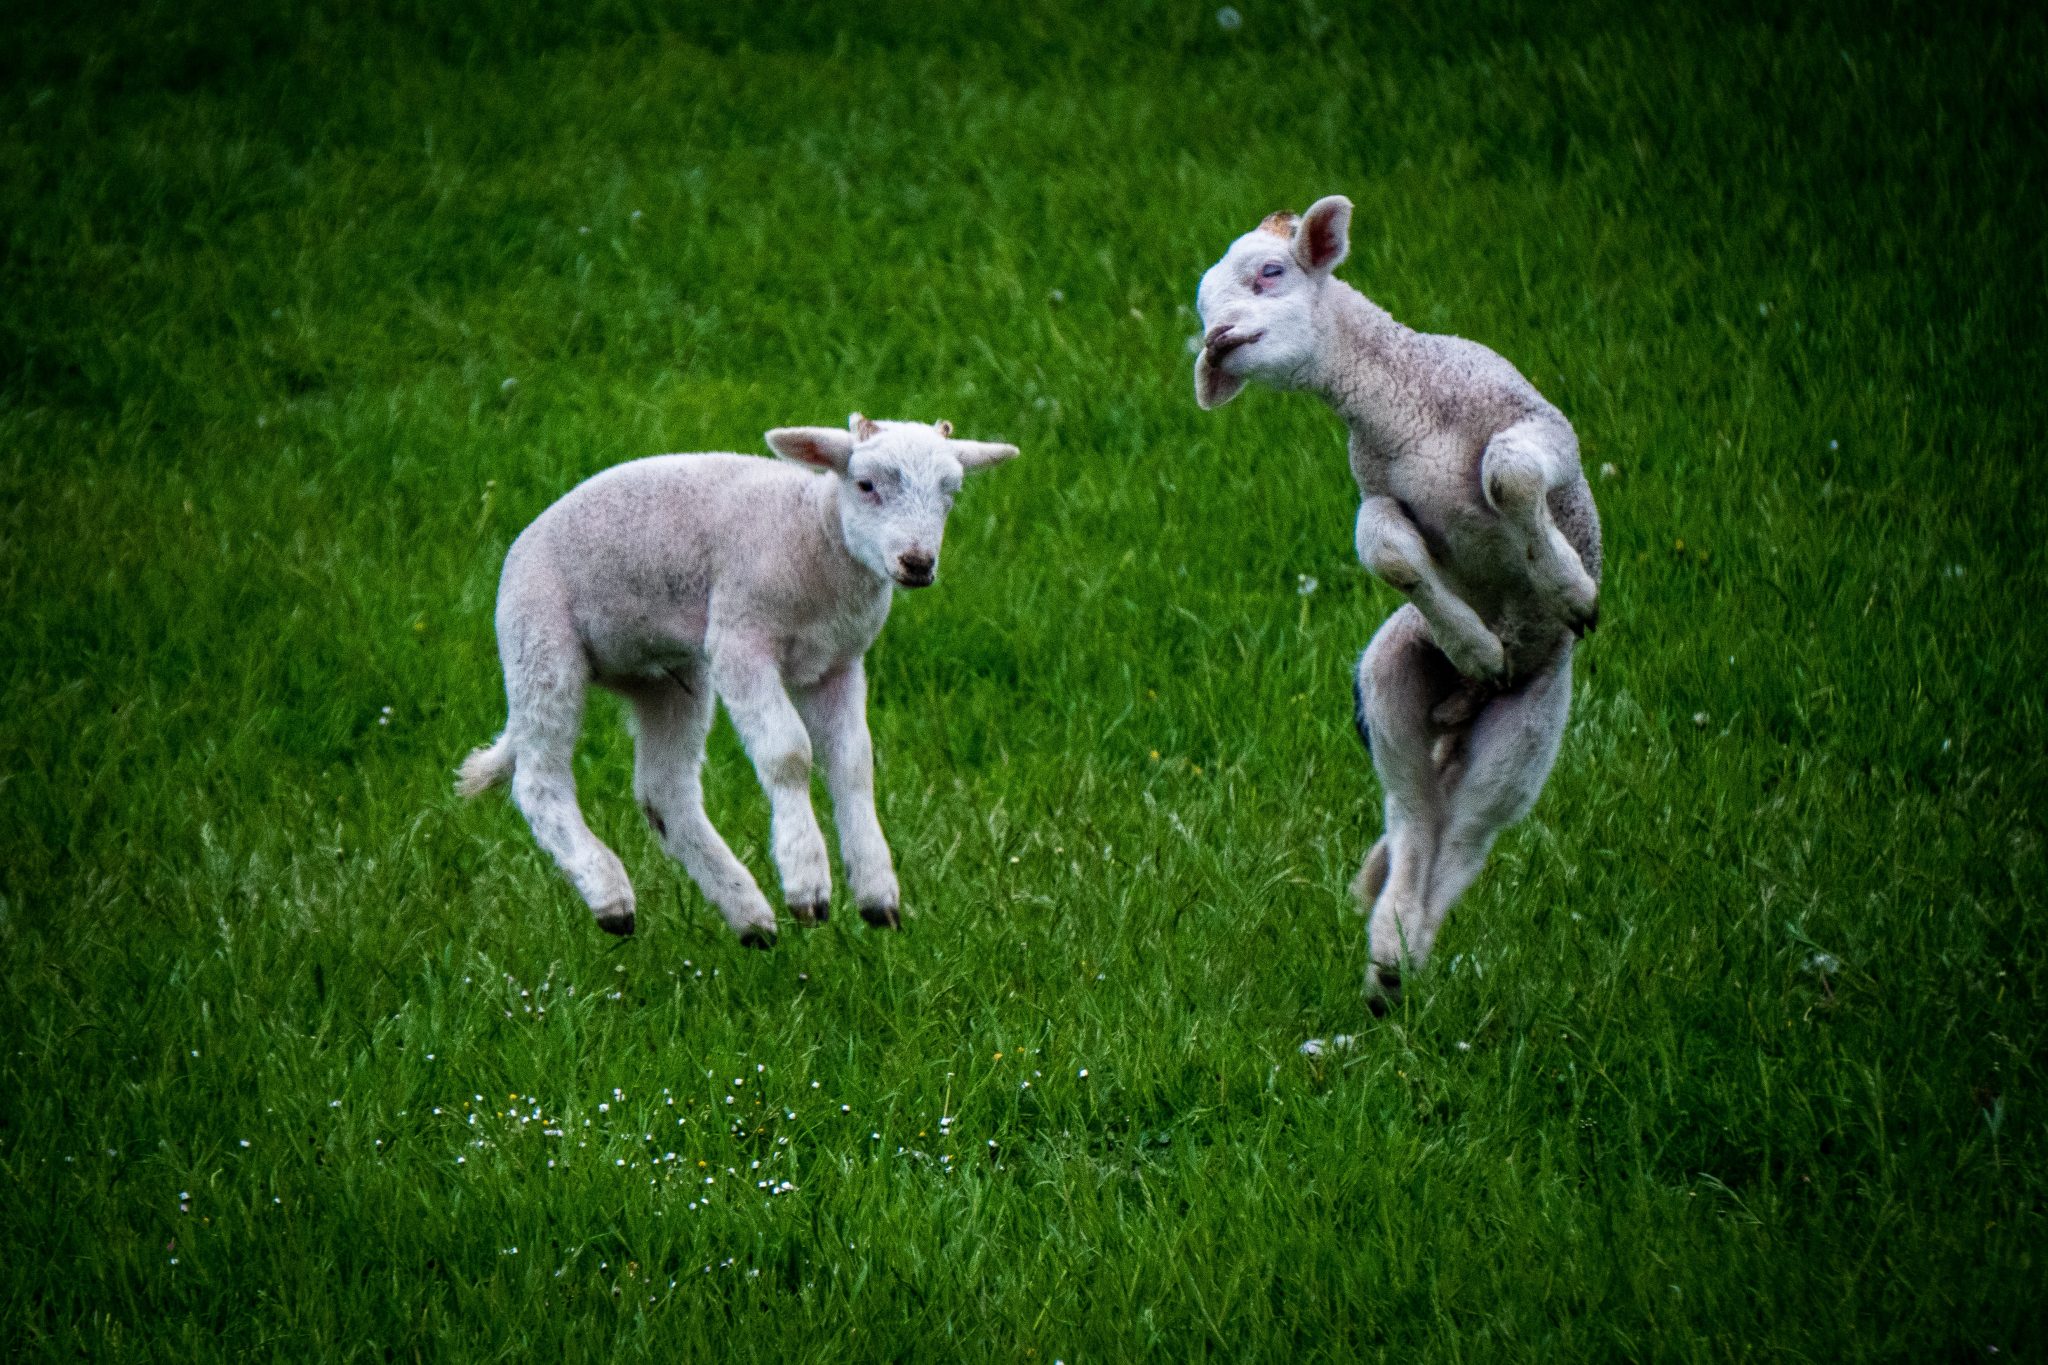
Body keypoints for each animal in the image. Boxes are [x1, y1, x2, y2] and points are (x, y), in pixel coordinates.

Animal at [455, 414, 1019, 946]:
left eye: (951, 493)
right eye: (864, 485)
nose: (918, 563)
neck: (816, 533)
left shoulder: (837, 664)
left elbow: (855, 764)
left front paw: (877, 895)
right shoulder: (740, 643)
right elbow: (788, 754)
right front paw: (808, 885)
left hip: (666, 677)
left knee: (665, 791)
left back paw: (749, 917)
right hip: (540, 643)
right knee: (539, 781)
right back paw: (611, 896)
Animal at [1193, 195, 1602, 1010]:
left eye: (1270, 272)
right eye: (1202, 306)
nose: (1217, 343)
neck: (1401, 408)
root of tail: (1463, 709)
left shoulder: (1541, 424)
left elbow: (1508, 473)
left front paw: (1567, 585)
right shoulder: (1379, 486)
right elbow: (1383, 546)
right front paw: (1475, 640)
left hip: (1532, 719)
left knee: (1467, 837)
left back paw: (1401, 956)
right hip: (1391, 679)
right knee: (1417, 819)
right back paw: (1391, 959)